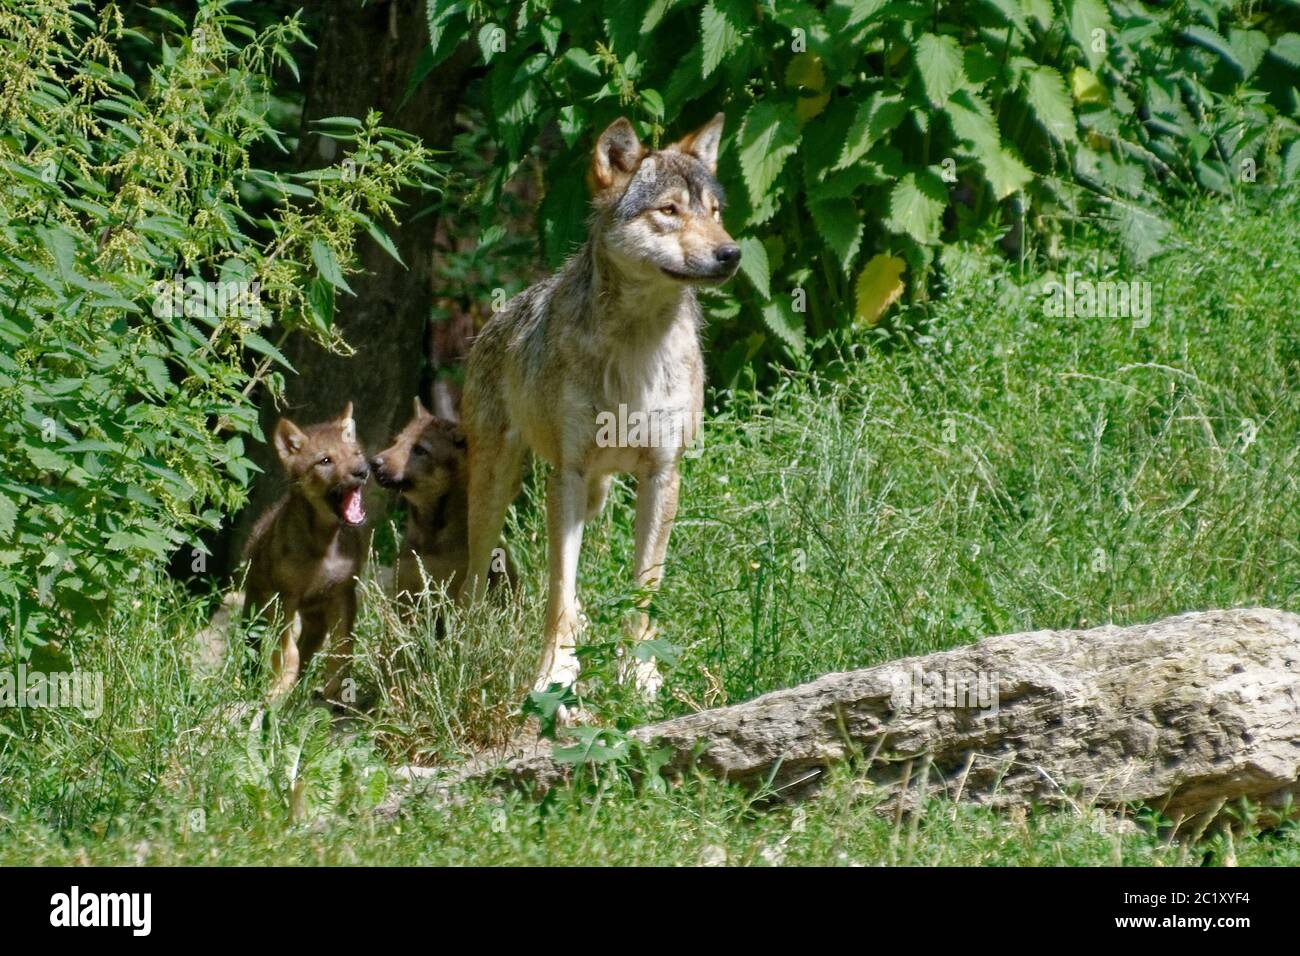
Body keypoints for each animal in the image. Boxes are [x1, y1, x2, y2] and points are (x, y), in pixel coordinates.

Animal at [243, 402, 370, 700]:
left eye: (356, 454)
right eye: (325, 461)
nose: (362, 471)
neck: (324, 547)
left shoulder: (343, 593)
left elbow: (343, 647)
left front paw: (336, 687)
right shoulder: (285, 598)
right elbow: (287, 651)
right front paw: (279, 688)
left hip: (316, 618)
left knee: (309, 648)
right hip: (255, 606)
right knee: (252, 648)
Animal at [458, 113, 740, 699]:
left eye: (715, 212)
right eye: (669, 210)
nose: (732, 254)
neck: (637, 350)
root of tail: (499, 314)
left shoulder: (662, 474)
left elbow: (643, 590)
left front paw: (638, 672)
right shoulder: (566, 473)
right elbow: (558, 590)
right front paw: (554, 674)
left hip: (598, 492)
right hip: (501, 485)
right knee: (478, 572)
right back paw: (466, 646)